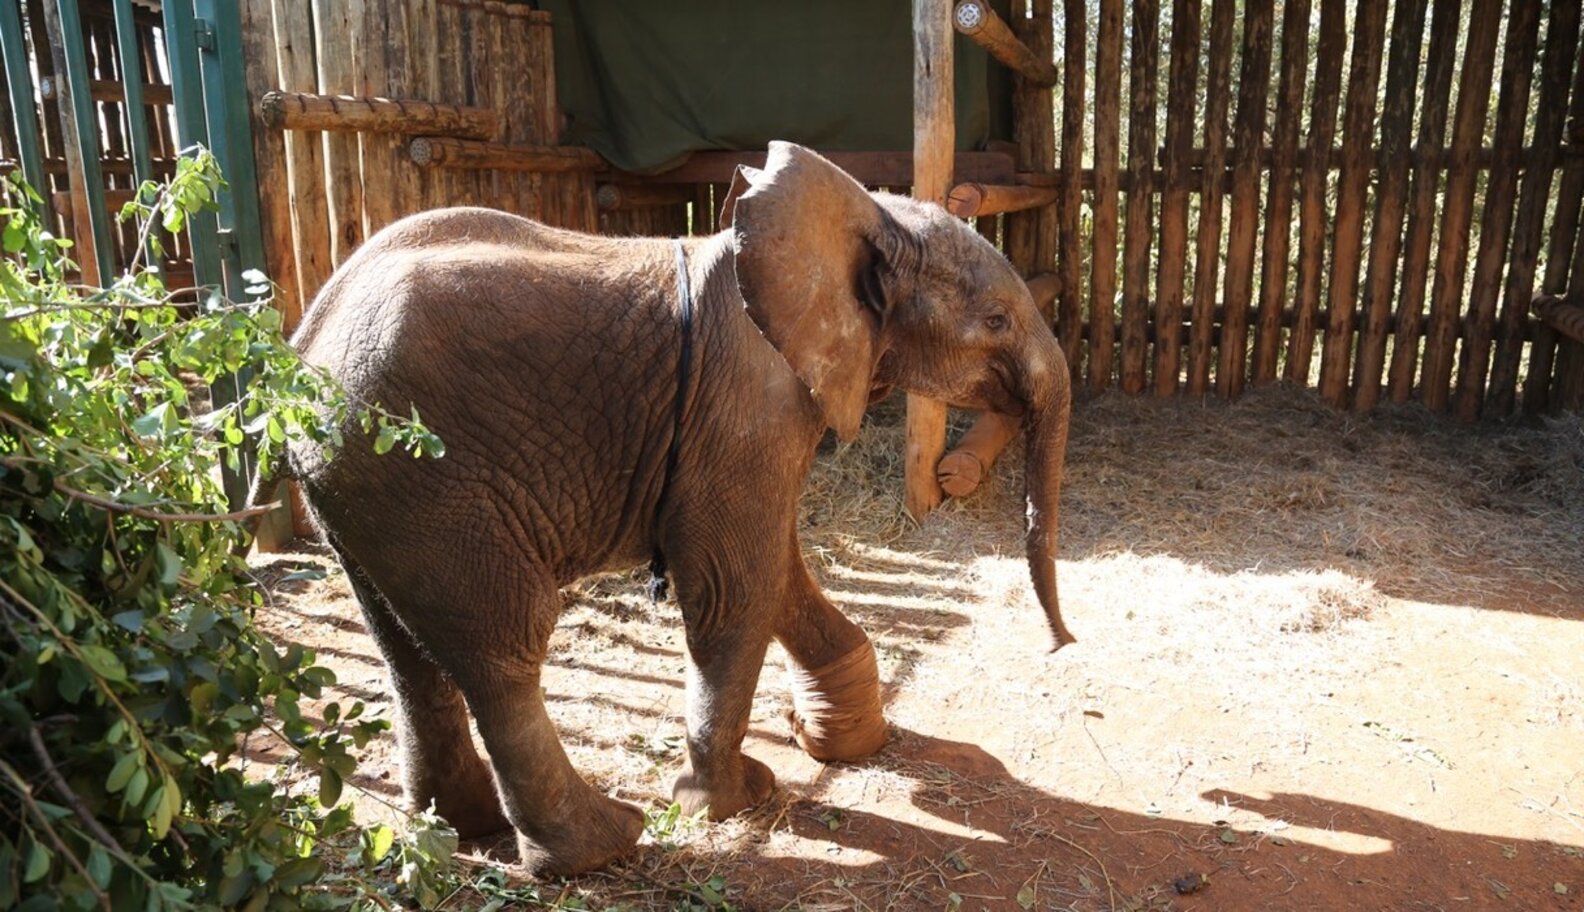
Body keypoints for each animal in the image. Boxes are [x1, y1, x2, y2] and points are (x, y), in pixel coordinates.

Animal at [283, 141, 1074, 877]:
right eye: (995, 320)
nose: (1060, 646)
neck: (865, 212)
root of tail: (301, 349)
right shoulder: (749, 398)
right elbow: (735, 586)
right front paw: (733, 802)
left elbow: (778, 569)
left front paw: (841, 740)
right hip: (426, 476)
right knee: (504, 643)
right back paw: (601, 848)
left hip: (368, 489)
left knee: (405, 649)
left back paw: (461, 827)